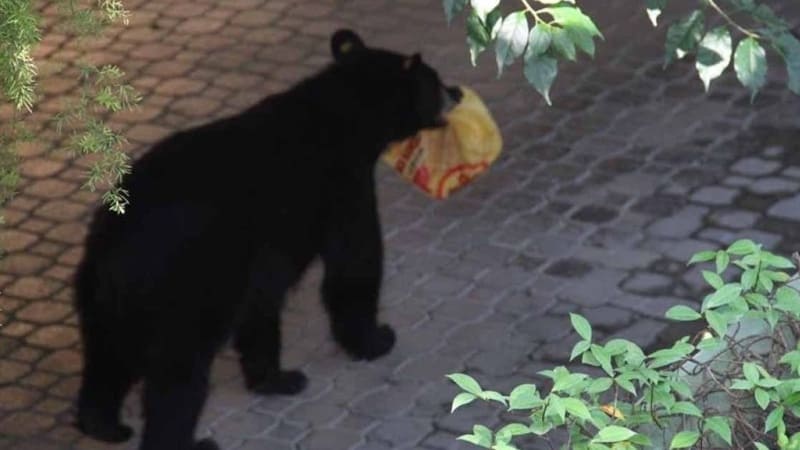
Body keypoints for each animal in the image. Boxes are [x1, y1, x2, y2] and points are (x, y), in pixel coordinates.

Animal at [73, 29, 462, 450]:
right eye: (435, 80)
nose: (457, 91)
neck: (345, 115)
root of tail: (112, 249)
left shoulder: (265, 253)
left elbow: (262, 304)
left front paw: (276, 378)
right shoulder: (342, 183)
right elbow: (355, 260)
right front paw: (376, 339)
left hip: (106, 303)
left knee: (107, 359)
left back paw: (103, 424)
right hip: (185, 286)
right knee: (177, 374)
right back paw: (187, 439)